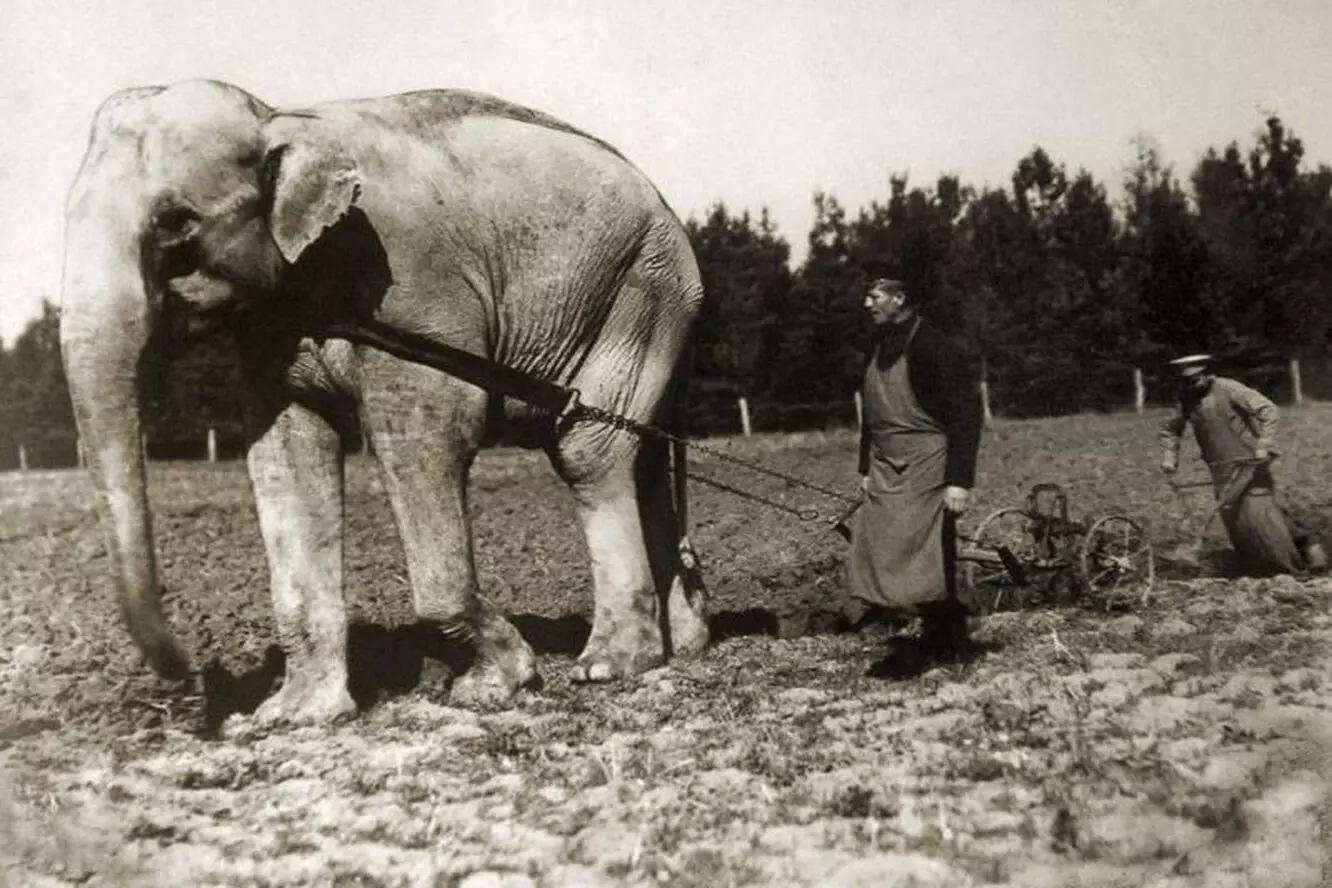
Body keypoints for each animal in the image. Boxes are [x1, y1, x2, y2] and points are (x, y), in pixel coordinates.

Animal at [58, 78, 713, 729]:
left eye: (175, 225)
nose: (189, 675)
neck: (279, 116)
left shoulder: (414, 290)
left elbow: (429, 432)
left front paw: (497, 686)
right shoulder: (273, 333)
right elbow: (286, 453)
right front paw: (293, 715)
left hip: (640, 291)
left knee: (590, 453)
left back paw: (609, 666)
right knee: (642, 459)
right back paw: (685, 641)